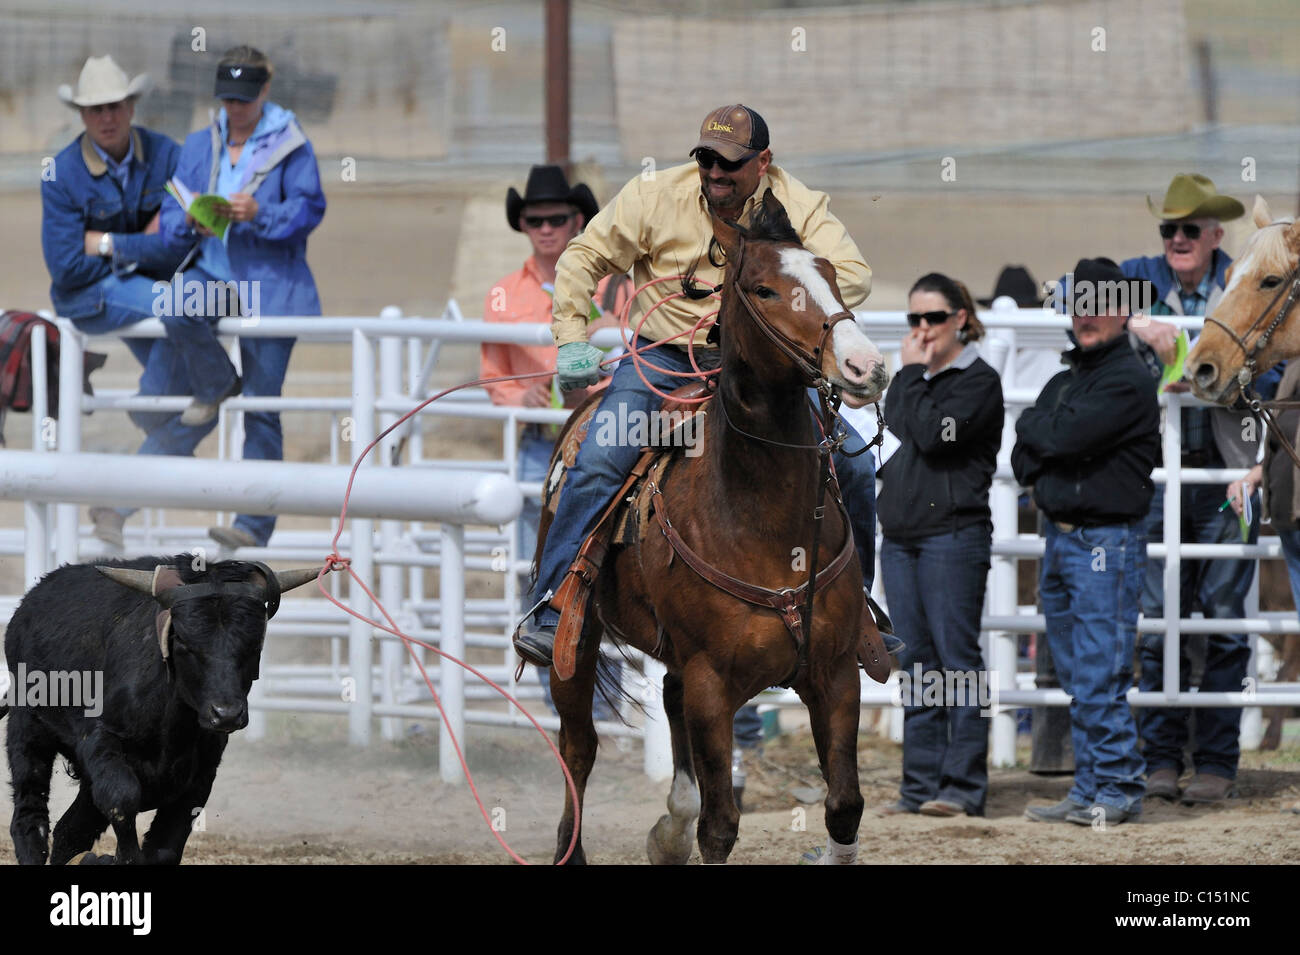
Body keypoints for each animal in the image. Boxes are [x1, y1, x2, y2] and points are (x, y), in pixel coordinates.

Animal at [2, 555, 325, 864]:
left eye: (254, 644)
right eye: (183, 641)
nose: (226, 714)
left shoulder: (202, 772)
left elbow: (166, 844)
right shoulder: (100, 740)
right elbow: (121, 800)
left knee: (70, 831)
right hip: (28, 730)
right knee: (30, 816)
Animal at [537, 190, 890, 865]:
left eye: (832, 277)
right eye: (765, 289)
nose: (866, 366)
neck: (762, 523)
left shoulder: (835, 673)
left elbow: (845, 805)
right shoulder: (712, 682)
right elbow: (720, 824)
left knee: (666, 705)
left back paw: (666, 832)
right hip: (580, 635)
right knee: (578, 747)